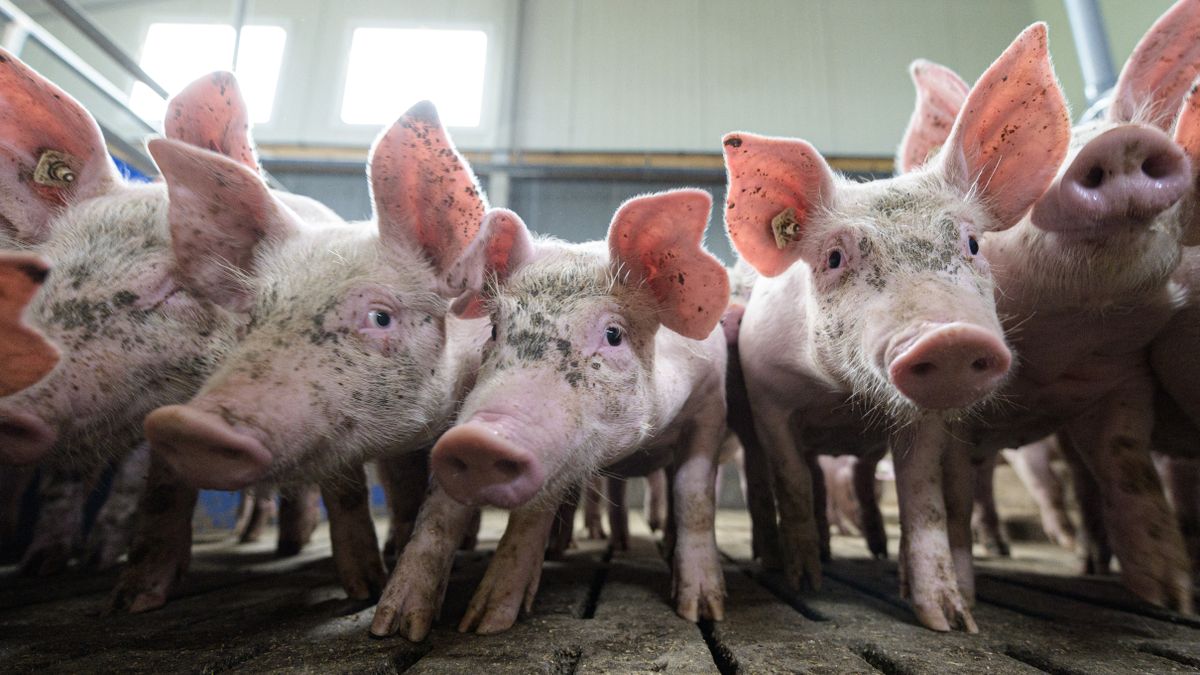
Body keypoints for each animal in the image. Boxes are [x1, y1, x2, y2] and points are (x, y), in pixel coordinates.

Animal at [371, 188, 730, 640]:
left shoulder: (711, 405)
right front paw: (425, 626)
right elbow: (442, 513)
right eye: (495, 329)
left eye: (614, 335)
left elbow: (694, 496)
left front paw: (702, 612)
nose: (478, 441)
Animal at [725, 24, 1071, 632]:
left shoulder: (924, 417)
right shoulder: (768, 394)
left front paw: (953, 622)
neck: (842, 399)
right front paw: (805, 583)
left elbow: (923, 495)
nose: (949, 337)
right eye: (834, 258)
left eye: (972, 243)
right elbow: (791, 481)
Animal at [898, 0, 1200, 616]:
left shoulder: (1123, 382)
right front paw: (962, 599)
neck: (1055, 352)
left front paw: (1173, 600)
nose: (1120, 141)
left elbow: (1127, 467)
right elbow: (957, 490)